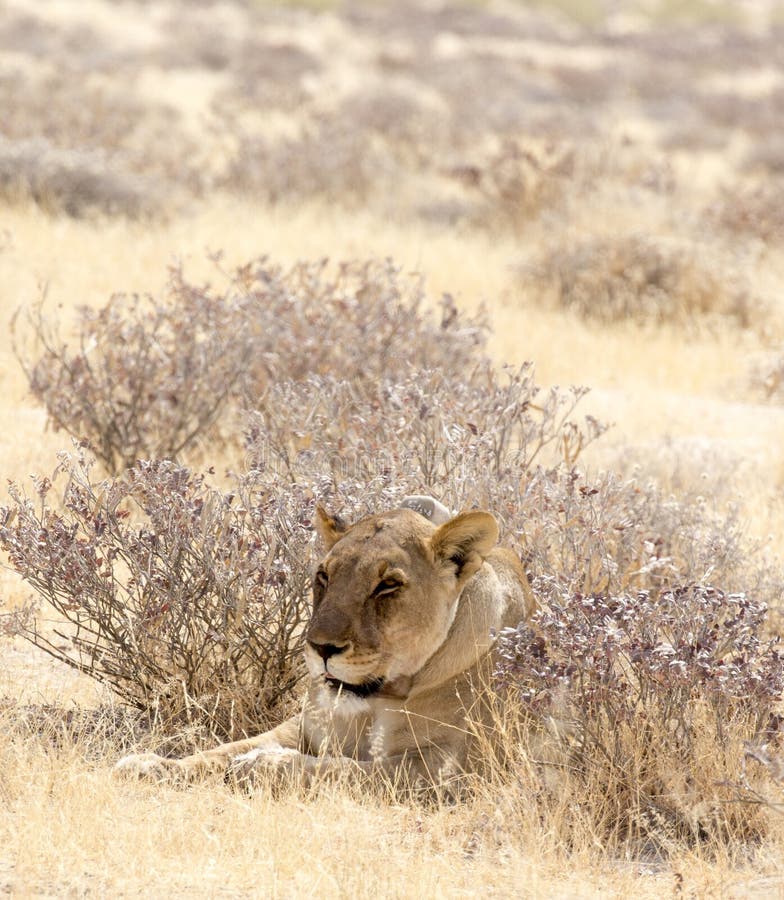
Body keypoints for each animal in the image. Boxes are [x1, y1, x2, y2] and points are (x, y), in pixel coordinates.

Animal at [114, 496, 536, 791]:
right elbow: (223, 750)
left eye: (387, 585)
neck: (375, 705)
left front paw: (263, 765)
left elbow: (343, 771)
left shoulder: (449, 772)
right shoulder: (301, 727)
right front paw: (150, 764)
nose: (321, 648)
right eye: (324, 576)